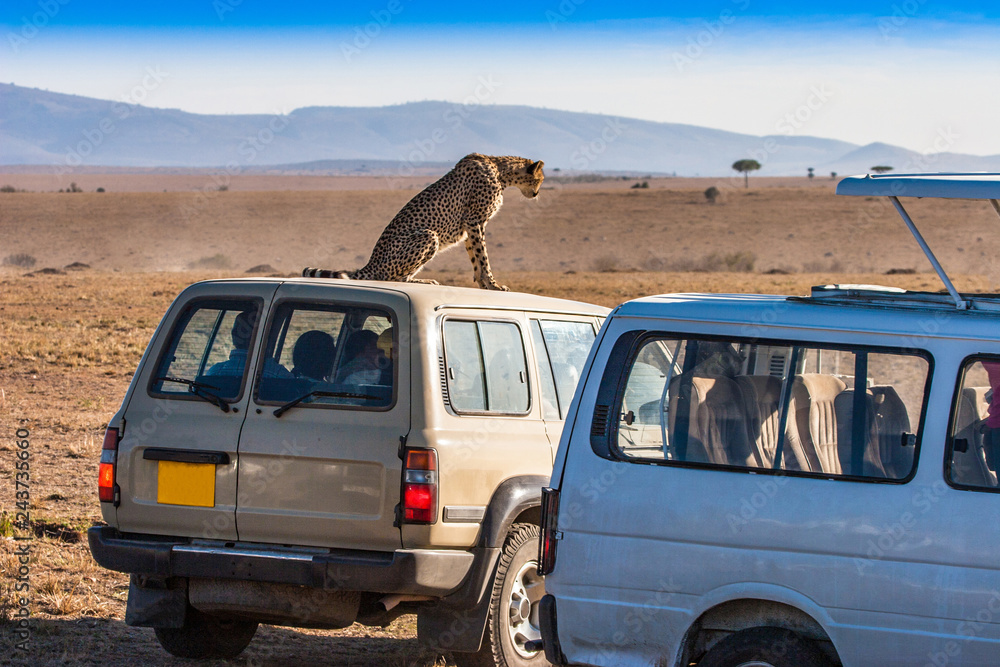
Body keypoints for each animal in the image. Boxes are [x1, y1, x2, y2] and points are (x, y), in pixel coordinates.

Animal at [303, 153, 544, 290]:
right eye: (540, 179)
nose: (536, 194)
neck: (500, 170)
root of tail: (371, 263)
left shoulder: (470, 226)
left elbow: (475, 258)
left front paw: (483, 284)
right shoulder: (475, 220)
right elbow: (483, 257)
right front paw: (493, 284)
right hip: (428, 235)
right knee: (390, 277)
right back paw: (423, 281)